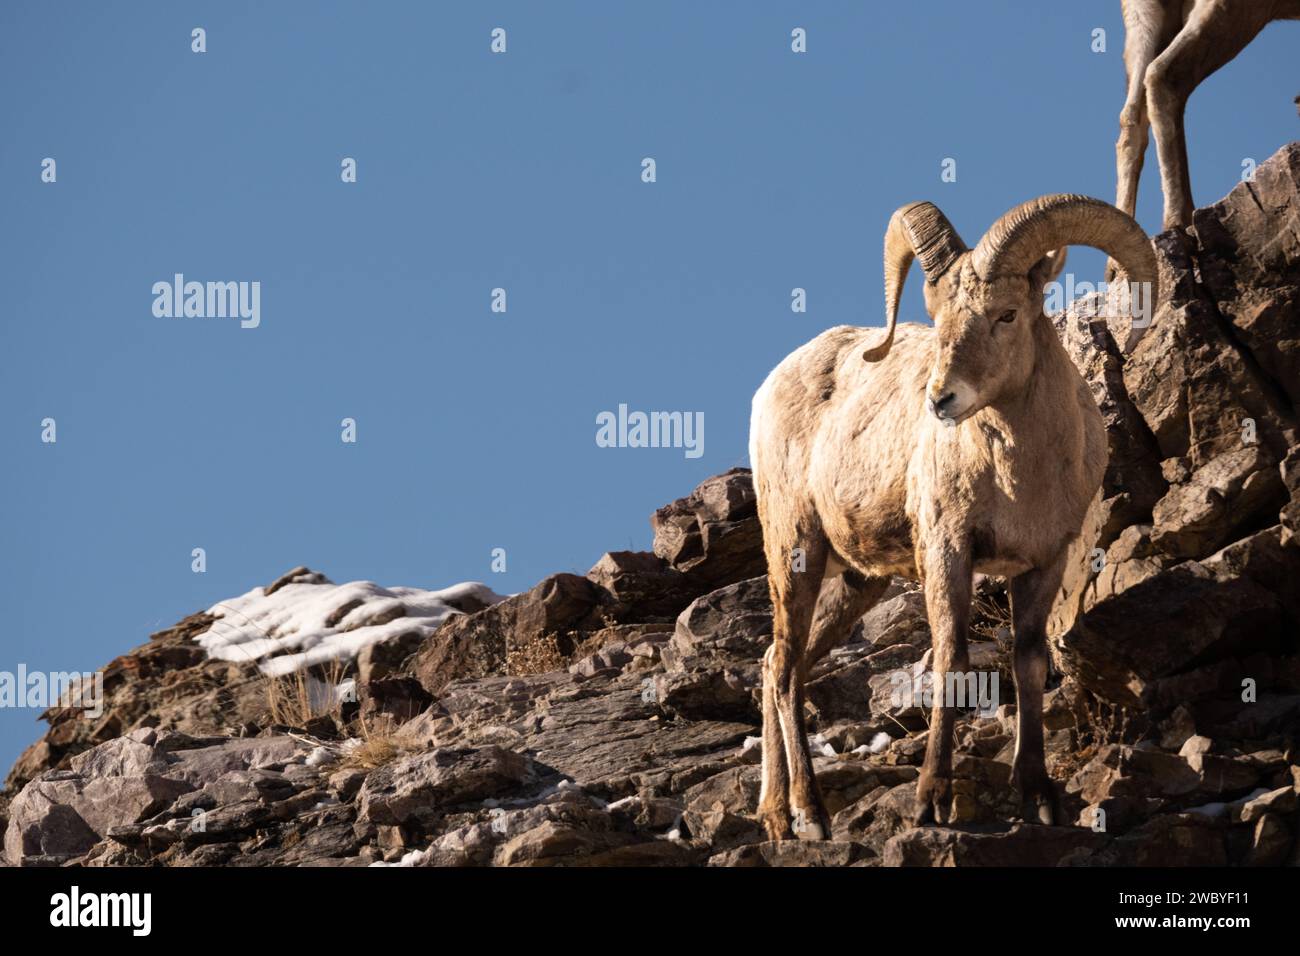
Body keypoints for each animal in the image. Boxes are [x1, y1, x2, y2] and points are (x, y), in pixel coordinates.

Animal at [748, 194, 1157, 840]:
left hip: (857, 583)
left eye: (1007, 314)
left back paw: (776, 818)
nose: (941, 400)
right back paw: (810, 815)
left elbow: (1030, 663)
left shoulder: (1044, 563)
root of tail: (770, 387)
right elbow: (950, 661)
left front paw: (1039, 798)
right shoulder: (948, 551)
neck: (1019, 477)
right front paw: (931, 801)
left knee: (772, 665)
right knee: (786, 669)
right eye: (937, 318)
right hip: (797, 553)